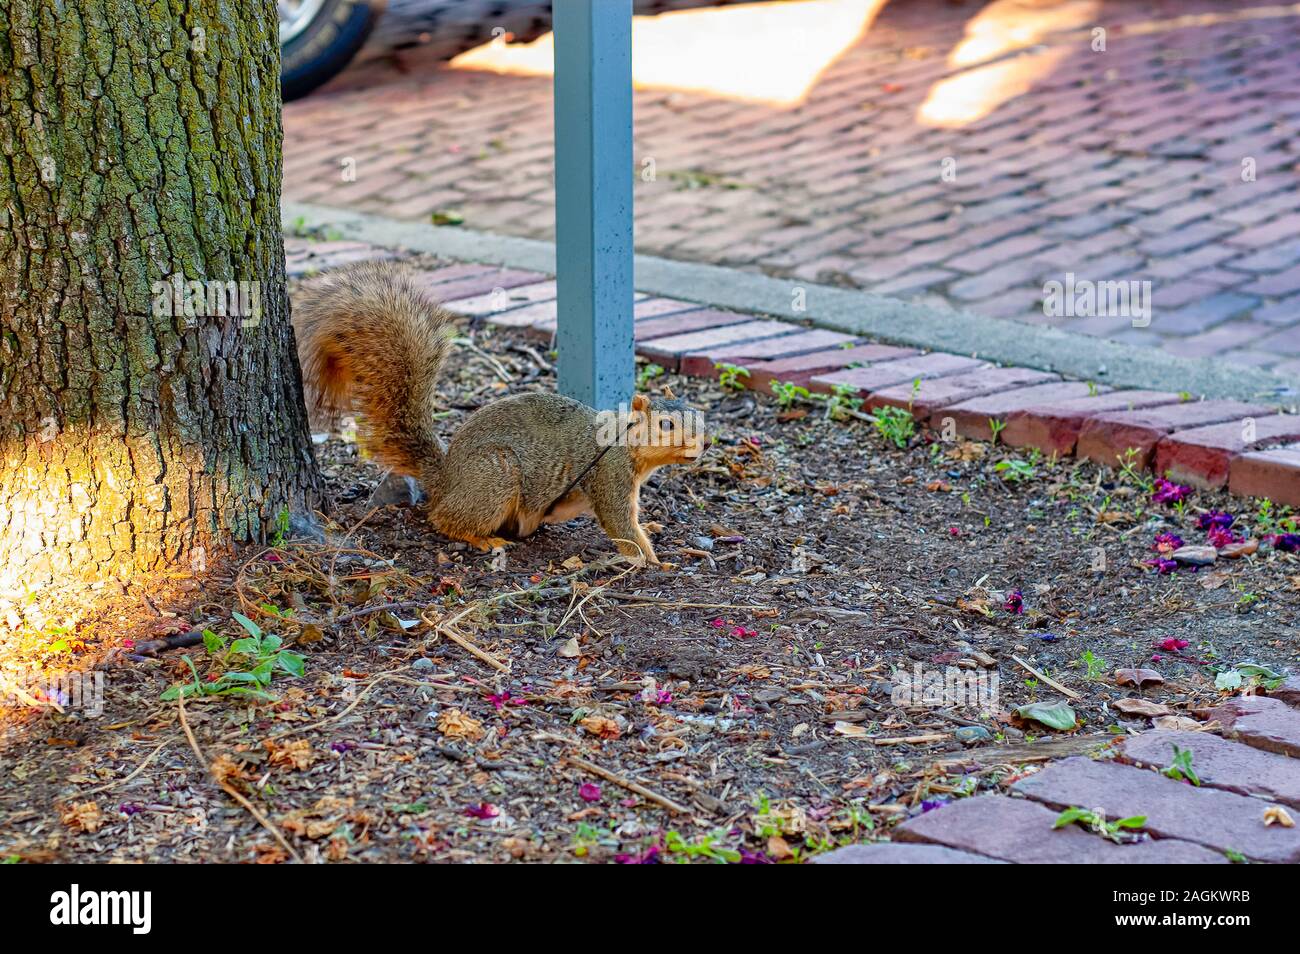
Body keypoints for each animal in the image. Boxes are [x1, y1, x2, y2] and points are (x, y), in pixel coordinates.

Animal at [292, 260, 706, 565]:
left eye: (698, 416)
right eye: (665, 425)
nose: (700, 448)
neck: (624, 443)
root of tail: (445, 480)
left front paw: (653, 533)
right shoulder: (608, 475)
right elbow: (622, 526)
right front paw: (654, 562)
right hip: (495, 477)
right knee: (443, 519)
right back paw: (484, 540)